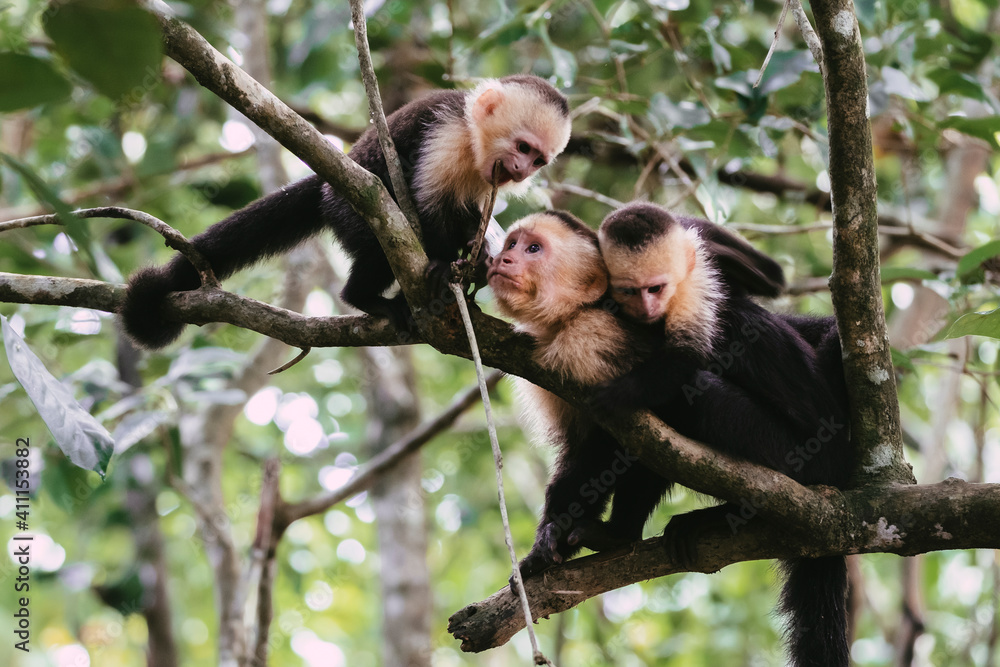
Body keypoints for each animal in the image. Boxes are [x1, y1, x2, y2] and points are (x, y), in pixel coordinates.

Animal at [120, 75, 572, 349]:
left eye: (538, 161)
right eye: (522, 147)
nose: (521, 170)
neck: (472, 137)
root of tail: (326, 187)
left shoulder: (485, 178)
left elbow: (468, 215)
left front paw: (476, 262)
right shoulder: (445, 133)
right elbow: (428, 206)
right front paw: (446, 265)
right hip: (348, 208)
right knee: (380, 240)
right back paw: (365, 296)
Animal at [596, 202, 852, 667]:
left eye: (656, 288)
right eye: (629, 290)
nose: (648, 307)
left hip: (802, 454)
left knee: (708, 381)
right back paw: (619, 534)